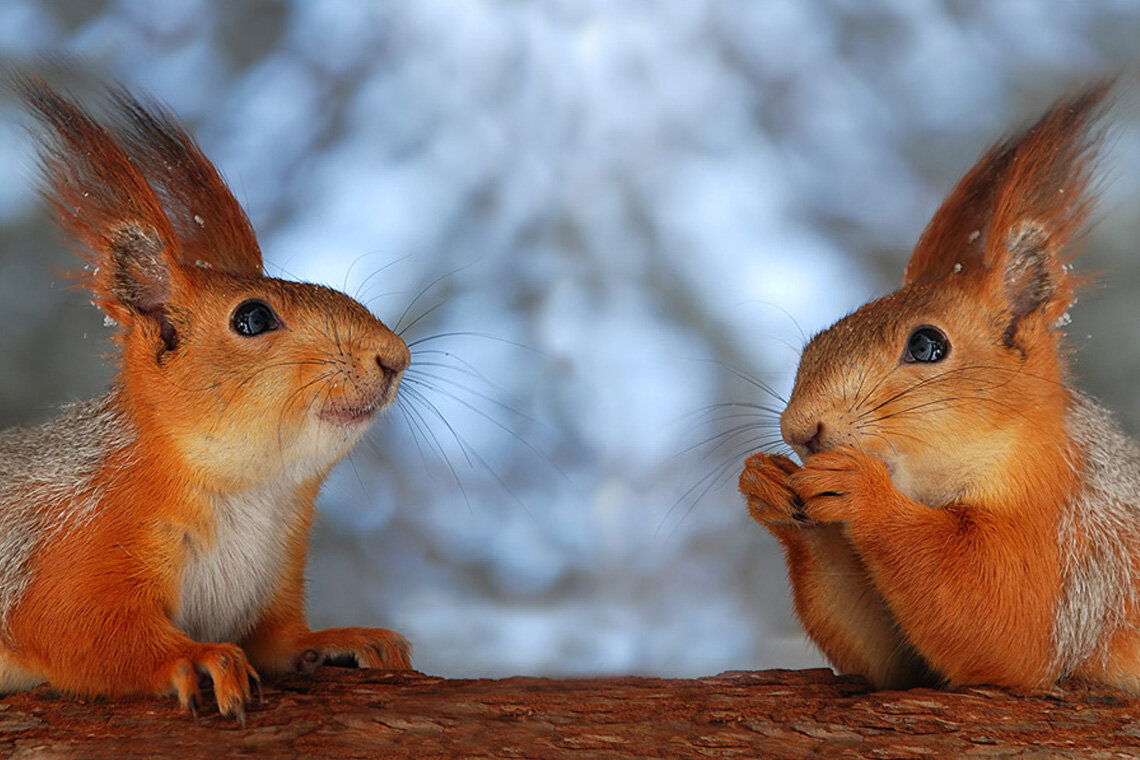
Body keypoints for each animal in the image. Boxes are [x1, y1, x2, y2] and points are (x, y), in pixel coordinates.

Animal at [0, 80, 410, 724]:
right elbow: (81, 631)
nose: (395, 357)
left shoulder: (273, 580)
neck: (254, 494)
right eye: (252, 318)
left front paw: (342, 638)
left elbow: (281, 643)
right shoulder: (73, 547)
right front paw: (196, 658)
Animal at [738, 80, 1140, 692]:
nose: (800, 429)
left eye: (927, 345)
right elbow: (887, 664)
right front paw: (767, 484)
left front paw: (865, 494)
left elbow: (1005, 626)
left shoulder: (1072, 540)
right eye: (813, 344)